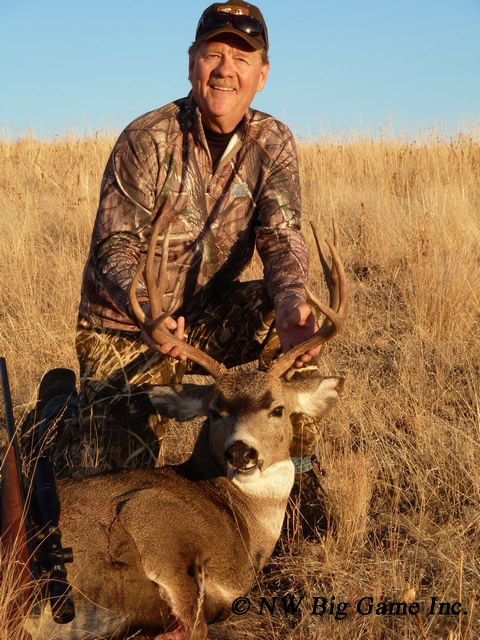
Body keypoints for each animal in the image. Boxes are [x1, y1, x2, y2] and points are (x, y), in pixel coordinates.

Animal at [24, 218, 347, 640]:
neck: (242, 522)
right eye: (215, 411)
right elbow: (191, 618)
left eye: (278, 409)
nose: (240, 451)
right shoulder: (150, 513)